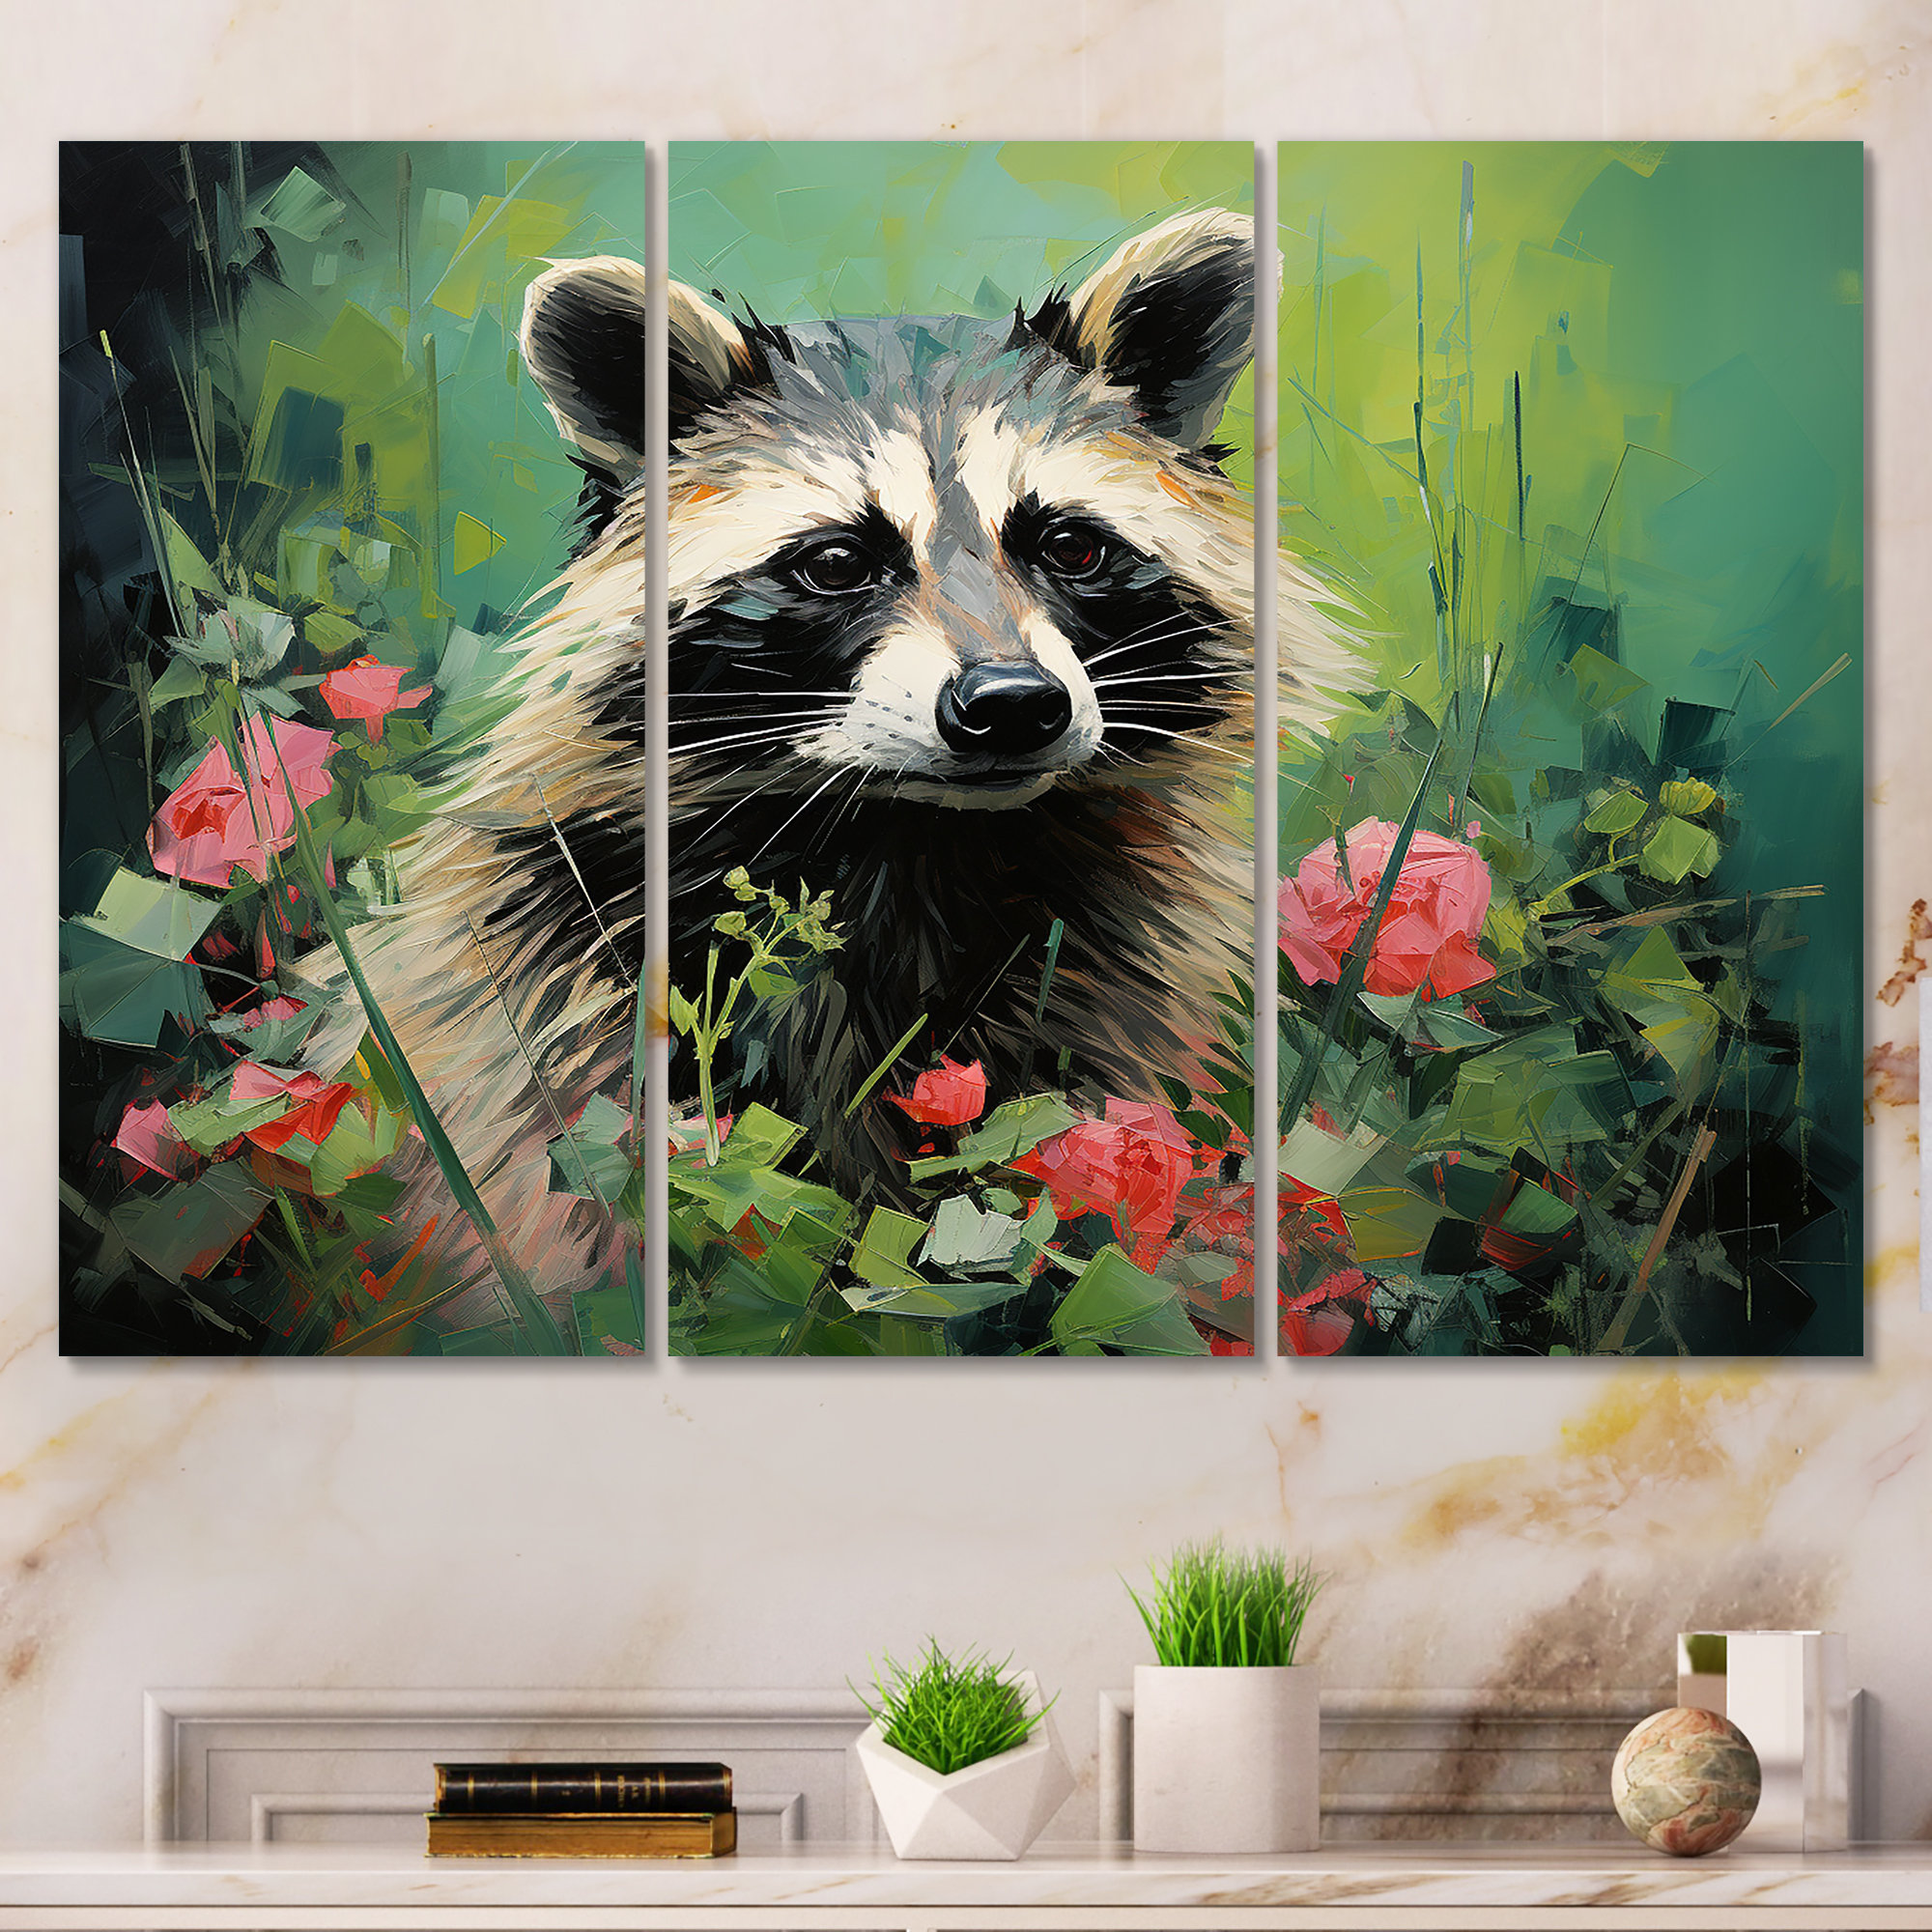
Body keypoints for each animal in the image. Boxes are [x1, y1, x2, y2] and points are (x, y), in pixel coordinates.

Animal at [302, 209, 1351, 1305]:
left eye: (1070, 547)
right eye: (840, 562)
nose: (1011, 706)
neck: (914, 838)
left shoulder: (1105, 990)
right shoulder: (557, 982)